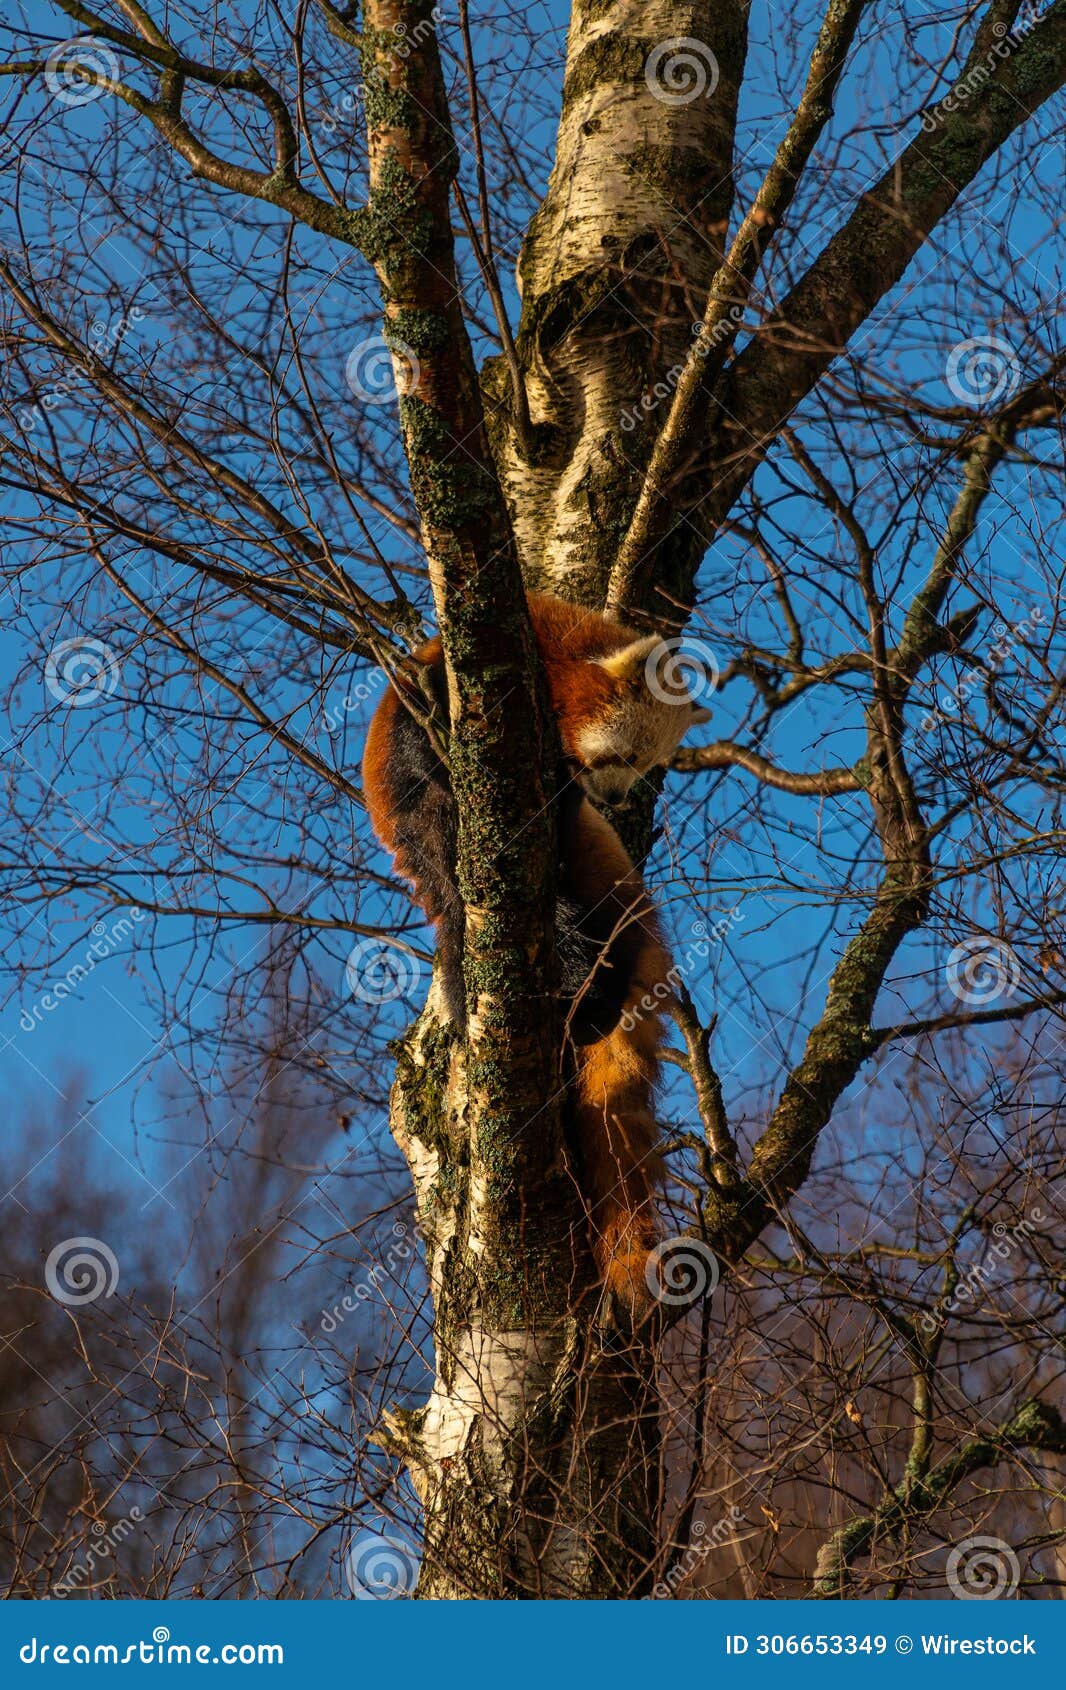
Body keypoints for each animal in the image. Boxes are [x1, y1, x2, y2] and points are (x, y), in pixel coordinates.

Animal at [362, 593, 711, 1311]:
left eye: (644, 766)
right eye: (623, 755)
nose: (615, 800)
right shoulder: (430, 699)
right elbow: (428, 752)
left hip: (602, 897)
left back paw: (583, 1005)